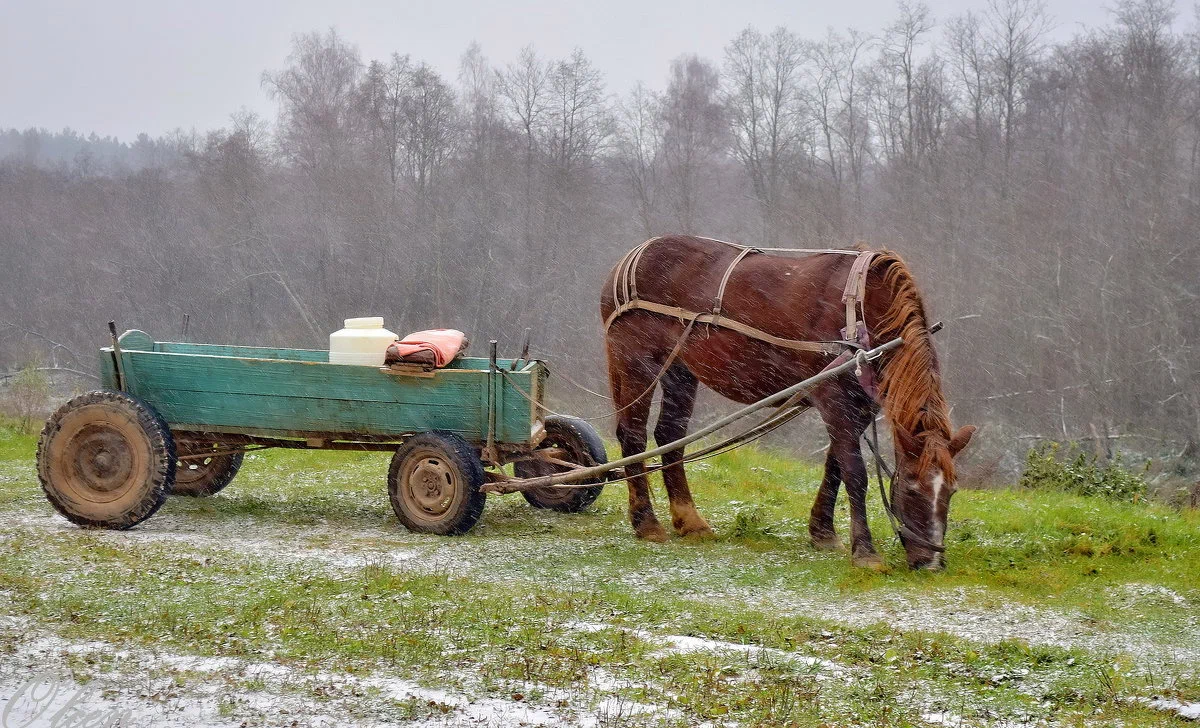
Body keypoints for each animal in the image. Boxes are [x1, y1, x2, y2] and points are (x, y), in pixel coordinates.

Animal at [600, 236, 974, 573]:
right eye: (911, 488)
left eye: (951, 492)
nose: (932, 564)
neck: (862, 308)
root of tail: (629, 259)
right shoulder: (834, 396)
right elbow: (855, 472)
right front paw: (865, 552)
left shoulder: (861, 404)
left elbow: (835, 464)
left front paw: (822, 532)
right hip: (636, 361)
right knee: (633, 436)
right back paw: (647, 523)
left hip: (680, 370)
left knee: (670, 437)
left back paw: (690, 521)